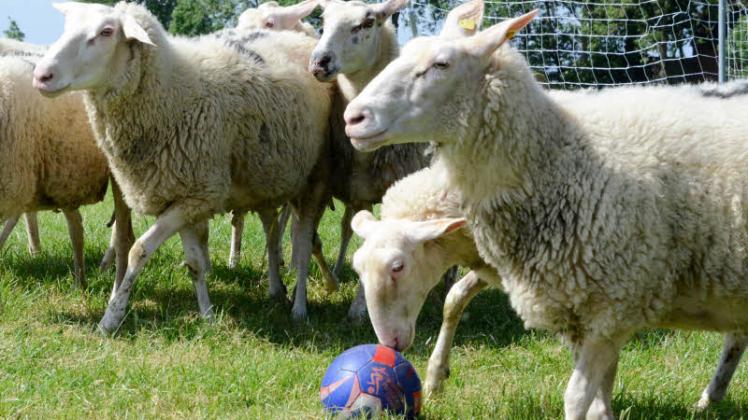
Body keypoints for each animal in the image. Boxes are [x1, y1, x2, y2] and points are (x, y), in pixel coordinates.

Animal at [34, 1, 334, 330]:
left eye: (107, 32)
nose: (41, 75)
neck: (173, 95)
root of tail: (300, 39)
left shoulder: (198, 194)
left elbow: (139, 250)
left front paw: (110, 318)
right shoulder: (183, 196)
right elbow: (194, 263)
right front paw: (208, 317)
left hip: (313, 179)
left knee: (303, 243)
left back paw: (300, 307)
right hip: (266, 177)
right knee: (271, 230)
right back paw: (276, 288)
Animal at [344, 11, 748, 419]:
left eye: (441, 65)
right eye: (358, 270)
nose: (352, 117)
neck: (560, 158)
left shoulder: (612, 306)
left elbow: (577, 398)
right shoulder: (575, 307)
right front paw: (436, 376)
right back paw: (710, 397)